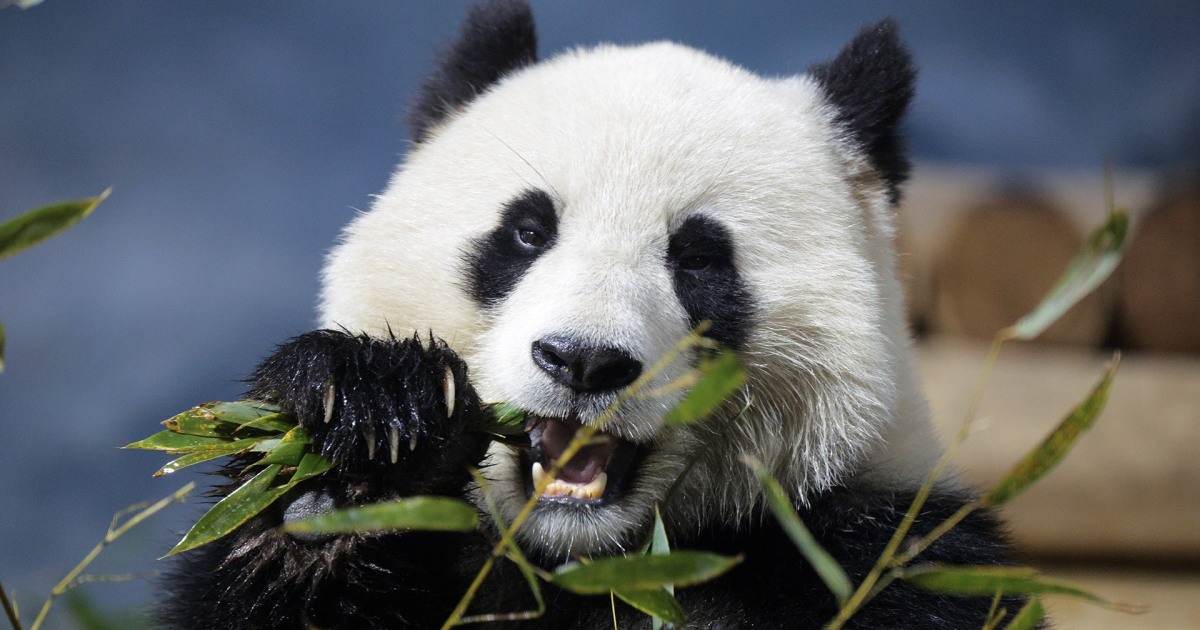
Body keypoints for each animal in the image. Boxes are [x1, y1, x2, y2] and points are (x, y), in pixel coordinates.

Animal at [160, 1, 1028, 628]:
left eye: (699, 258)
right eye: (527, 231)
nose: (583, 360)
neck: (590, 560)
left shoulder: (882, 548)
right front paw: (363, 450)